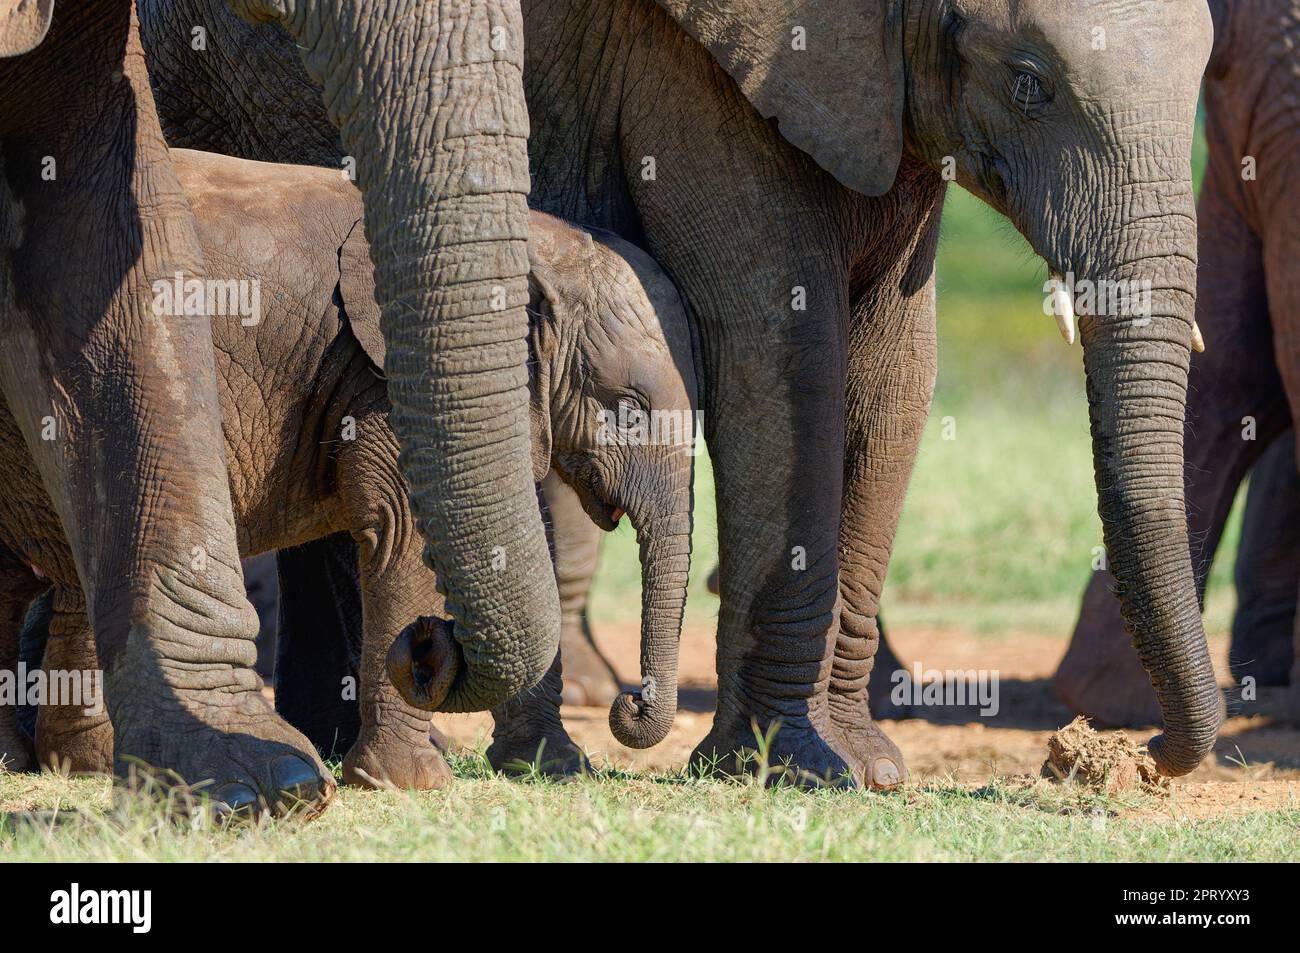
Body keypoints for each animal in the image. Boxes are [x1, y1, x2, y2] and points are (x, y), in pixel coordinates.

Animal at [0, 149, 699, 783]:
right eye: (629, 410)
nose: (628, 704)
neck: (528, 244)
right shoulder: (386, 379)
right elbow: (407, 539)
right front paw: (409, 783)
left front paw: (551, 769)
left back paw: (65, 762)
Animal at [138, 0, 1222, 787]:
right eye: (1029, 82)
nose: (1128, 758)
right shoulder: (695, 67)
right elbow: (782, 343)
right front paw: (788, 767)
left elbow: (896, 378)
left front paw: (865, 767)